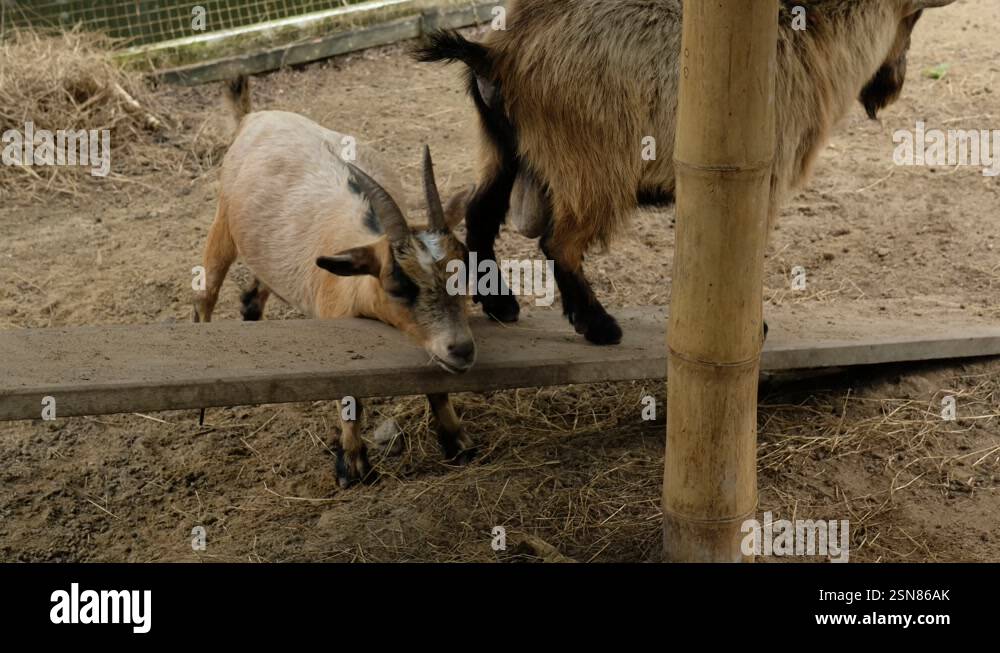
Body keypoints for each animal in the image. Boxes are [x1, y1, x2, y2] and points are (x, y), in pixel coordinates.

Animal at [194, 76, 477, 488]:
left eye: (466, 272)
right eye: (398, 286)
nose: (463, 349)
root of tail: (254, 116)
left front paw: (457, 441)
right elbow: (351, 397)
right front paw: (353, 464)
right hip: (224, 222)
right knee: (205, 293)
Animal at [416, 0, 956, 345]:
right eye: (913, 17)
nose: (893, 84)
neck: (808, 39)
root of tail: (499, 53)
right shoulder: (763, 182)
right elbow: (745, 257)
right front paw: (751, 329)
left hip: (503, 148)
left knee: (481, 213)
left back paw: (501, 304)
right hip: (593, 164)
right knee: (559, 241)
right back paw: (598, 325)